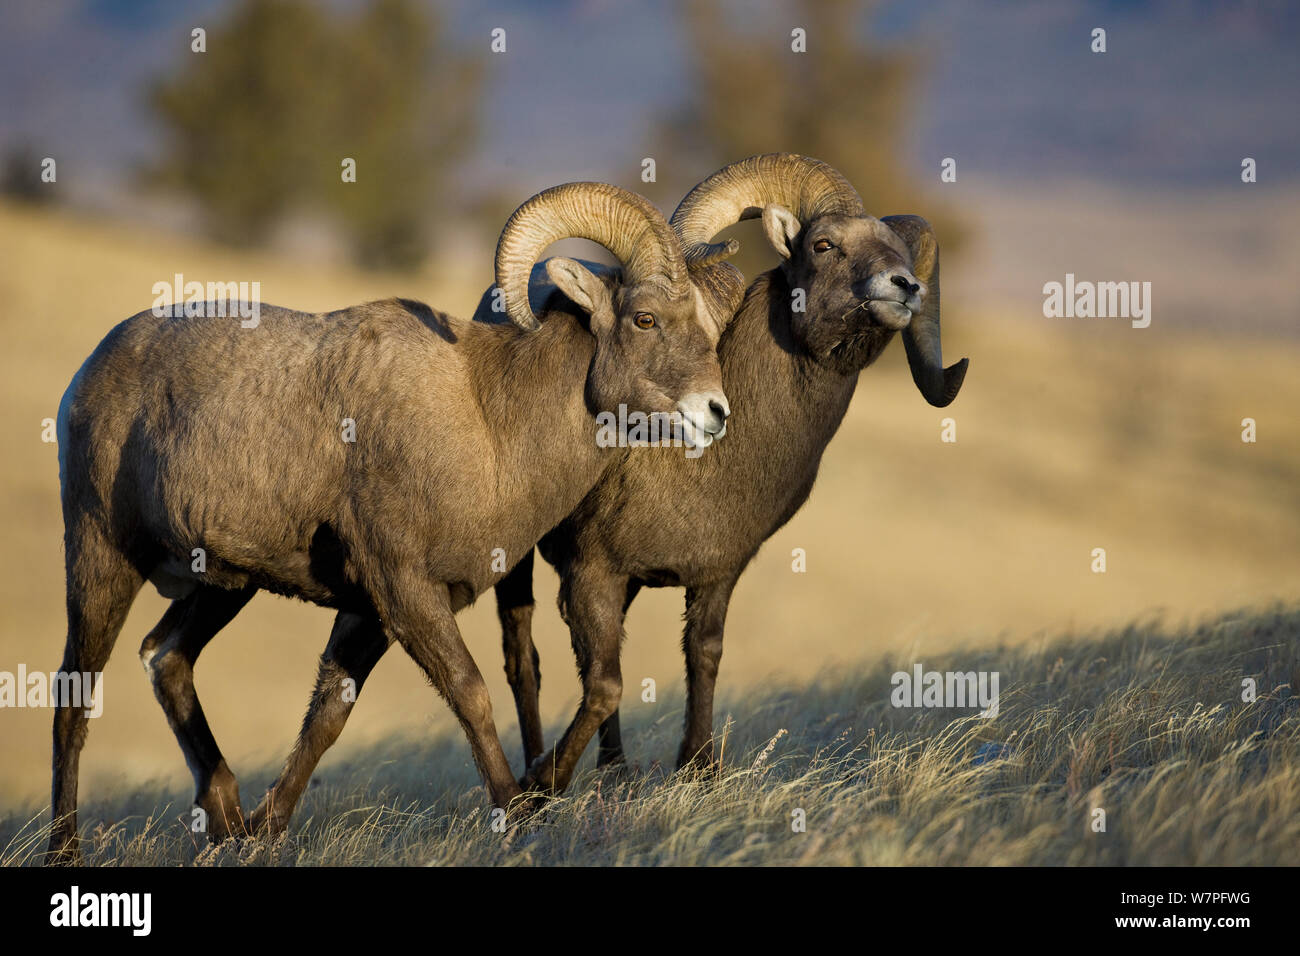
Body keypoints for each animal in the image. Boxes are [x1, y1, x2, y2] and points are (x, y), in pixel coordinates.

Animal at [45, 181, 737, 862]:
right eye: (645, 319)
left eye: (707, 327)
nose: (716, 412)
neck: (491, 426)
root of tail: (89, 373)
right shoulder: (407, 592)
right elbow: (471, 693)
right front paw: (518, 816)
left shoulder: (369, 611)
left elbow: (327, 717)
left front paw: (262, 833)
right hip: (103, 561)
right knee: (72, 697)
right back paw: (65, 853)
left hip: (225, 586)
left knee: (165, 659)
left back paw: (225, 822)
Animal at [249, 153, 967, 803]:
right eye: (824, 244)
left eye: (902, 253)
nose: (905, 288)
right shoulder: (593, 570)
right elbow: (603, 682)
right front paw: (548, 785)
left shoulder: (715, 574)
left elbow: (697, 659)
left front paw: (698, 769)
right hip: (522, 566)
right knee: (525, 663)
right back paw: (557, 771)